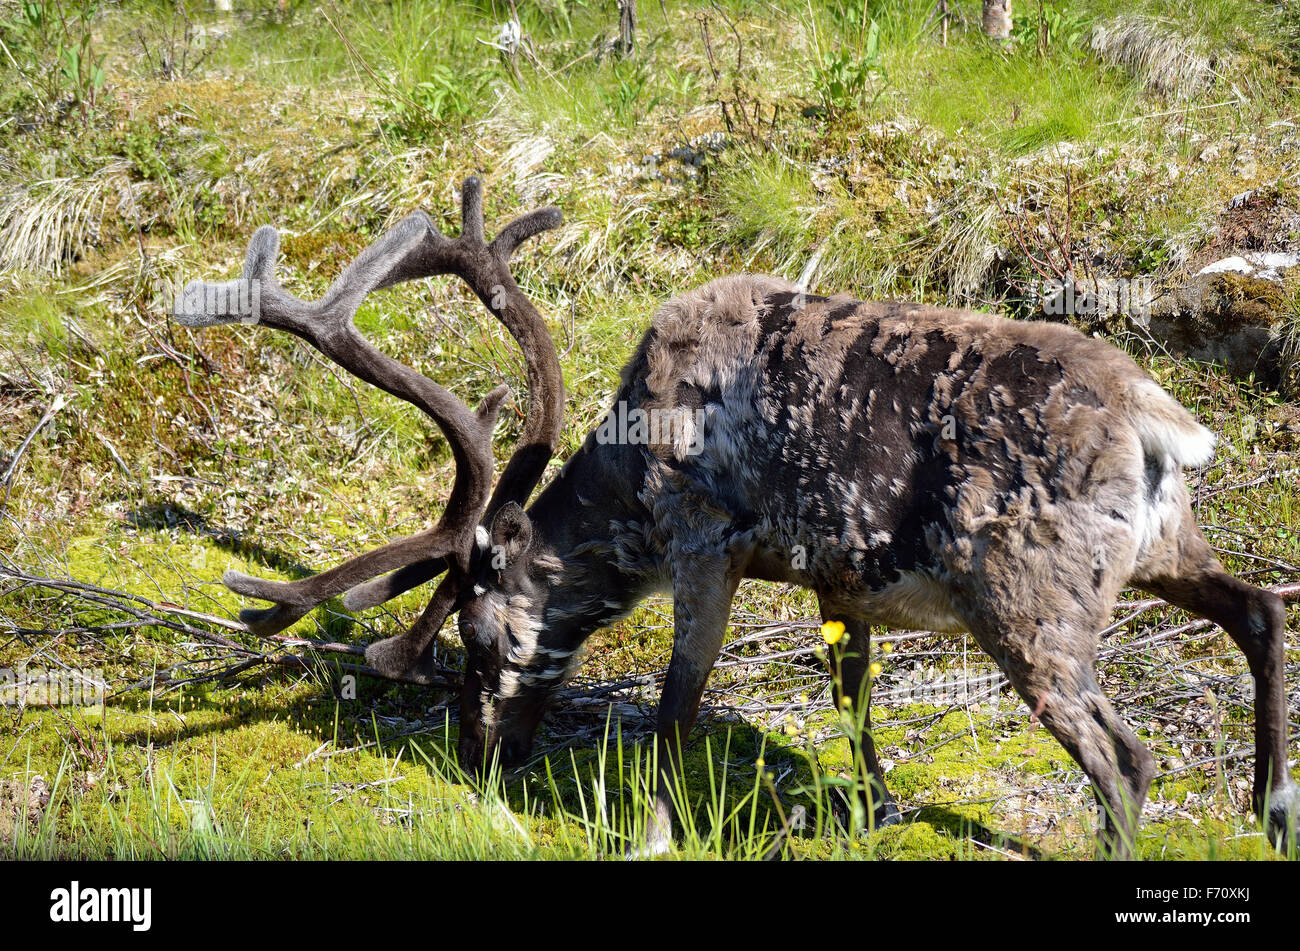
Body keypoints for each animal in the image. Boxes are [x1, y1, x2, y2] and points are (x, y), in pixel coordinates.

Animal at [173, 177, 1297, 858]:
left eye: (478, 634)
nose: (481, 754)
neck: (629, 473)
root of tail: (1160, 424)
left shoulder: (703, 540)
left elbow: (676, 703)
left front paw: (653, 832)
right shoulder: (840, 581)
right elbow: (853, 706)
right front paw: (869, 814)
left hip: (1029, 604)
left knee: (1127, 755)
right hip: (1162, 546)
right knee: (1258, 607)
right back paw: (1270, 806)